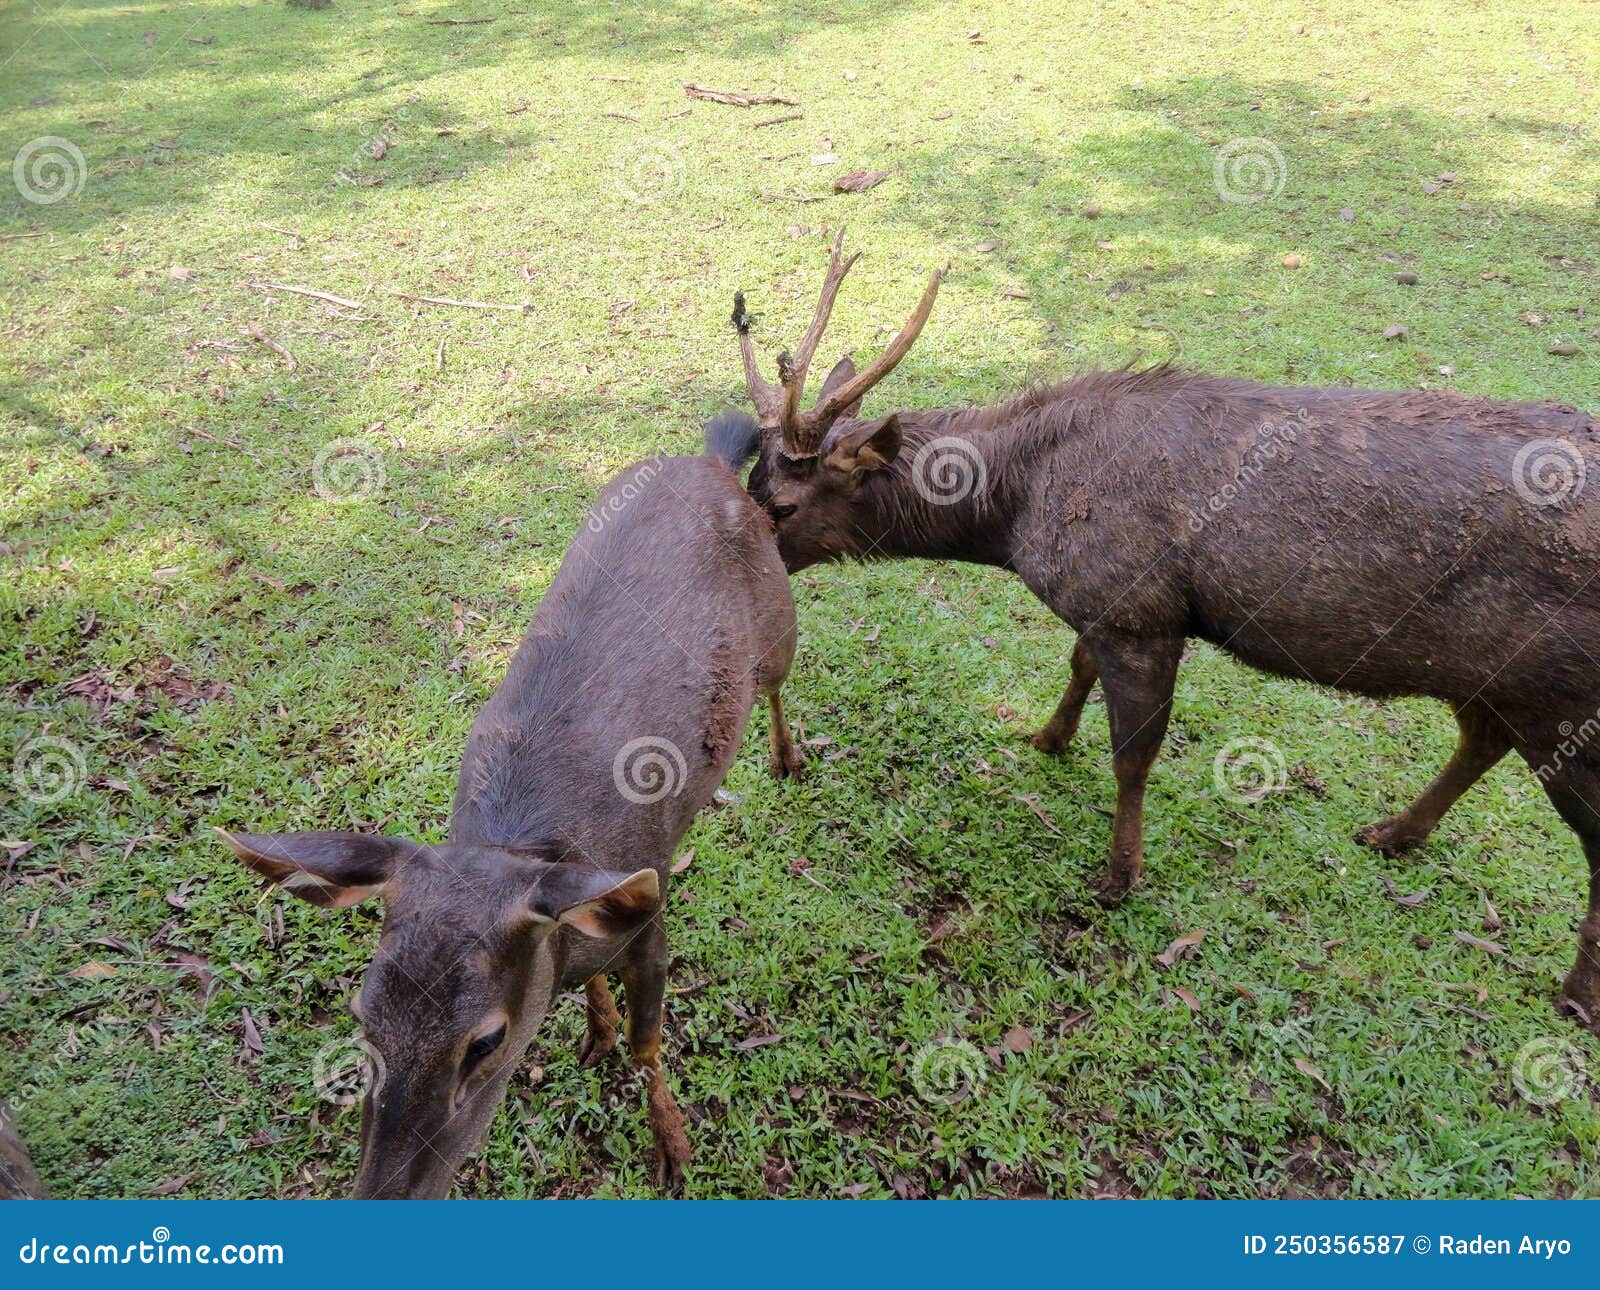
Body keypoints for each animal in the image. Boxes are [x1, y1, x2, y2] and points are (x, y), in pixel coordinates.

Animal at [217, 431, 803, 1197]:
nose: (383, 1194)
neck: (536, 842)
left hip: (779, 618)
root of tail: (711, 455)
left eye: (486, 1041)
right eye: (360, 1016)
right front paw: (595, 1034)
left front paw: (674, 1148)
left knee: (780, 683)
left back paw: (787, 758)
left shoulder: (649, 912)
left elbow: (649, 1043)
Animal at [729, 227, 1600, 1035]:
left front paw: (1118, 879)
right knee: (1480, 739)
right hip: (1495, 674)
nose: (738, 577)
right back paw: (1394, 834)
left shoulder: (1140, 611)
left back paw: (1575, 994)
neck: (1015, 515)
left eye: (784, 505)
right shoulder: (1107, 607)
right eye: (750, 478)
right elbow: (1076, 665)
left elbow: (1134, 757)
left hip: (1559, 686)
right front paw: (1047, 738)